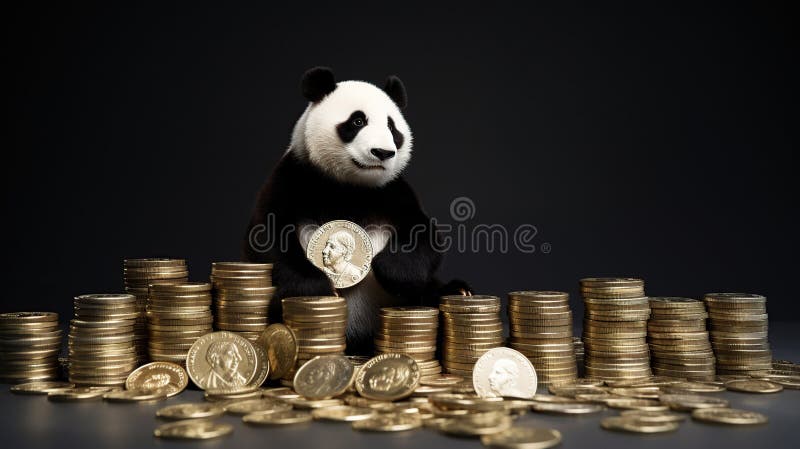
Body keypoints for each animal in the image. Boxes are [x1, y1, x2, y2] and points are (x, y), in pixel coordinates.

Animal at [244, 67, 471, 355]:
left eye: (392, 127)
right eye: (357, 122)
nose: (383, 152)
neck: (351, 187)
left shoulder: (393, 193)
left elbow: (425, 237)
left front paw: (390, 269)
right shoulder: (293, 177)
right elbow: (268, 239)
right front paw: (321, 291)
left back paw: (457, 291)